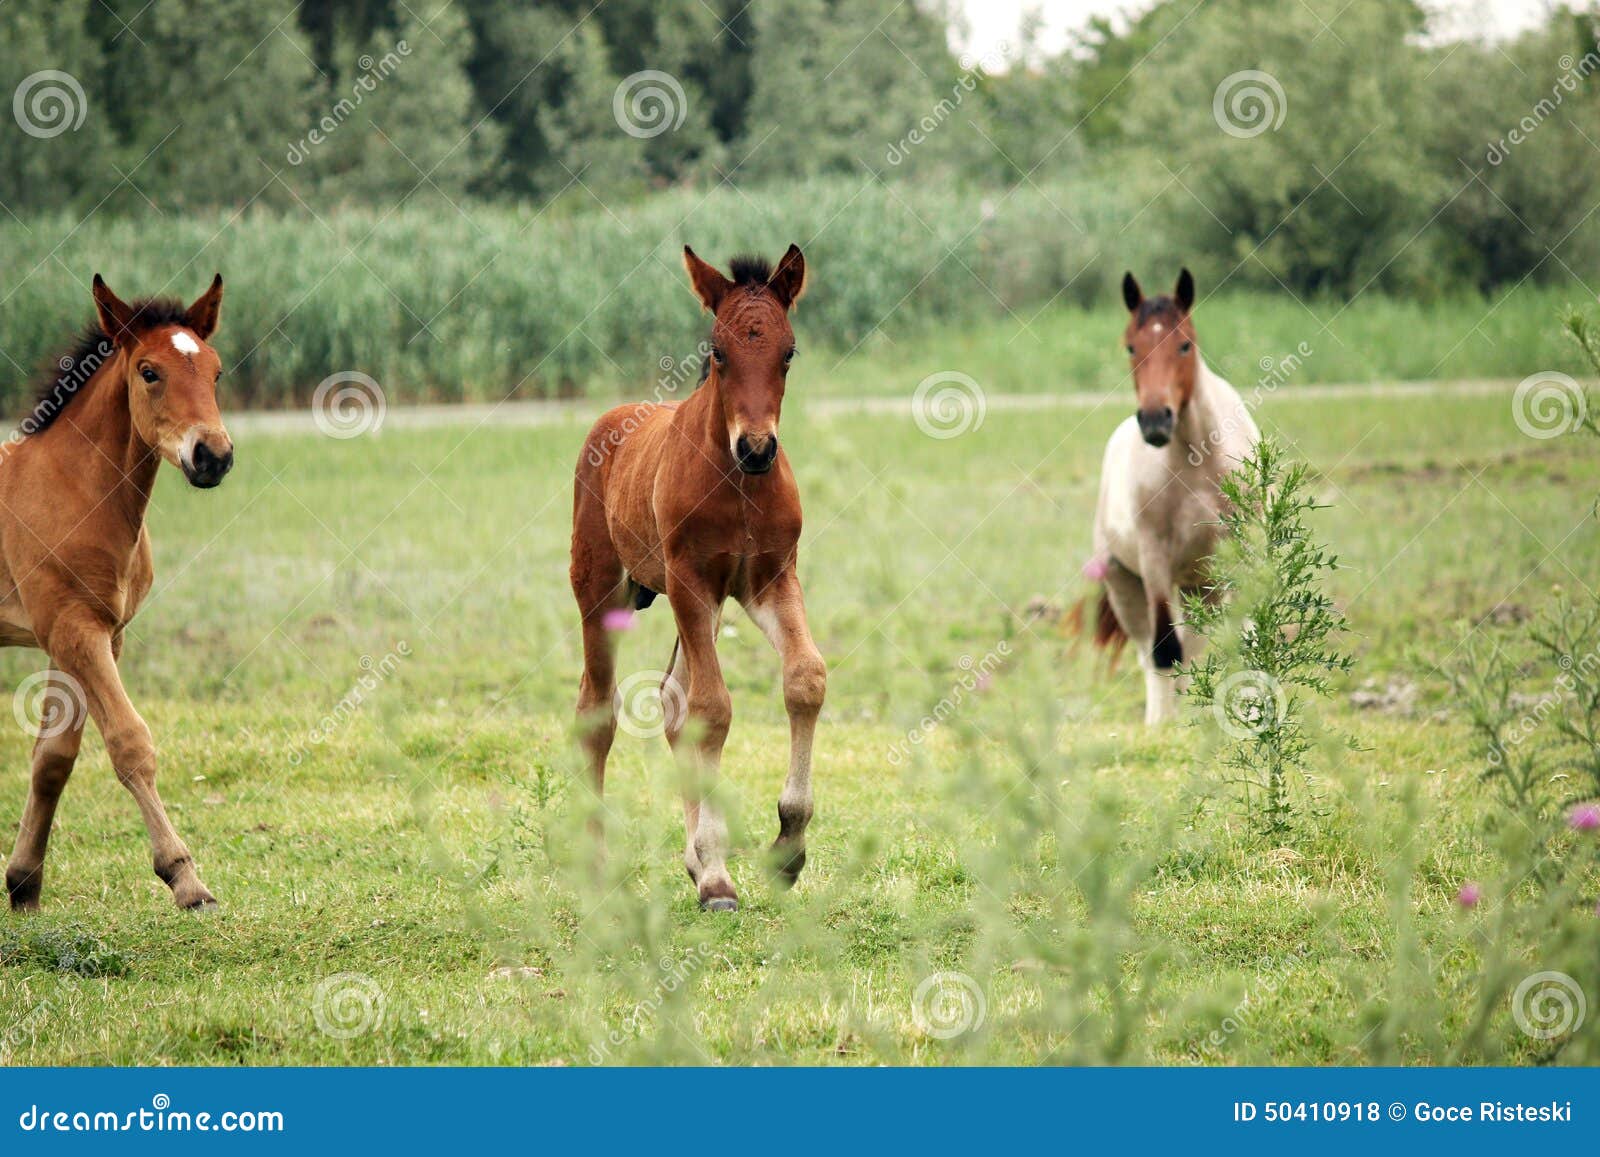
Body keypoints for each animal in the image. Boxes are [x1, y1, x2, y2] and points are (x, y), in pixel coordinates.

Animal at [2, 274, 233, 911]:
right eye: (149, 372)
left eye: (216, 372)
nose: (213, 456)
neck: (72, 488)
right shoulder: (75, 629)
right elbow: (131, 743)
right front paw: (185, 878)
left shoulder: (91, 633)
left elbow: (53, 759)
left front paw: (24, 883)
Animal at [569, 244, 825, 912]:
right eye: (717, 352)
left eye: (789, 352)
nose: (758, 447)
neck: (738, 486)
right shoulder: (689, 579)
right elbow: (713, 706)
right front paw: (716, 874)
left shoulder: (768, 581)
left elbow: (805, 679)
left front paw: (787, 846)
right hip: (602, 591)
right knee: (598, 708)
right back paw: (597, 863)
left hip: (701, 609)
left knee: (670, 697)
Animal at [1084, 268, 1259, 724]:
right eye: (1132, 346)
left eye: (1184, 344)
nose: (1154, 420)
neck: (1198, 458)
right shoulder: (1154, 560)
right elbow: (1165, 650)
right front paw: (1165, 729)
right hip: (1125, 585)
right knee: (1151, 652)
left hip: (1203, 585)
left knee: (1198, 644)